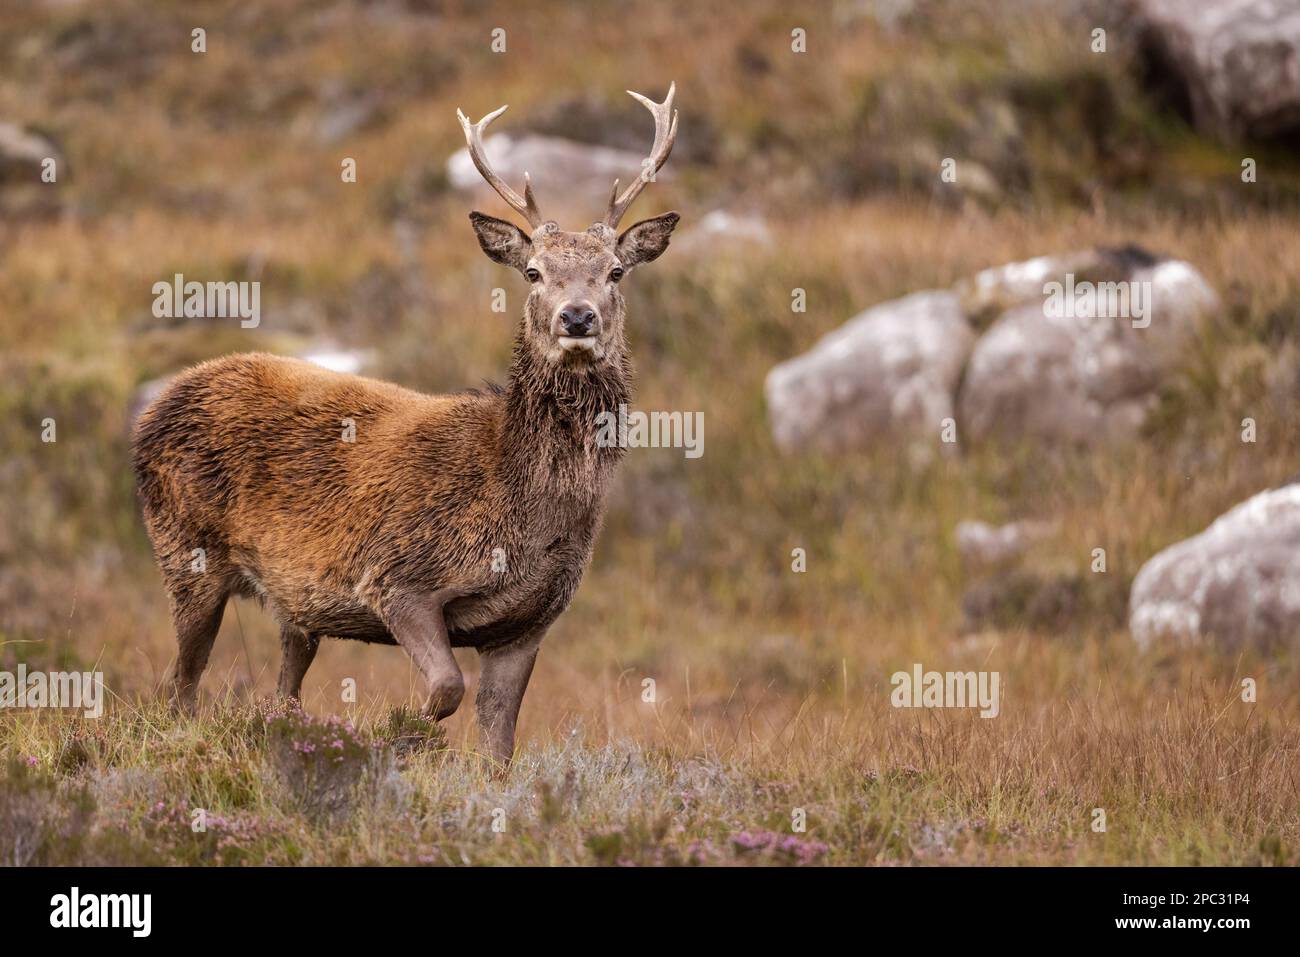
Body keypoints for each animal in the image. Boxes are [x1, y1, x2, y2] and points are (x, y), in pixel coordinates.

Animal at [132, 84, 680, 765]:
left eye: (616, 272)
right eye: (532, 272)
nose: (576, 317)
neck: (525, 509)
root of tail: (157, 404)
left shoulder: (528, 622)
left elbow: (500, 743)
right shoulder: (397, 576)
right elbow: (444, 688)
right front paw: (395, 732)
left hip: (289, 600)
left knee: (282, 677)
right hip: (185, 550)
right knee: (178, 686)